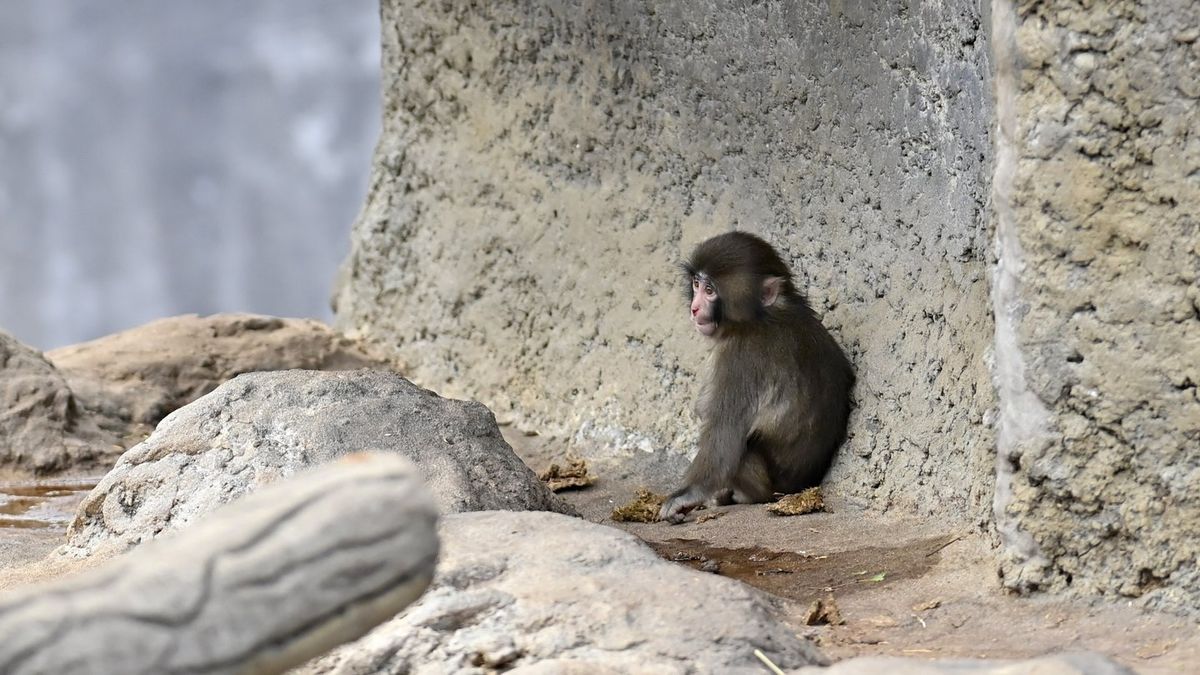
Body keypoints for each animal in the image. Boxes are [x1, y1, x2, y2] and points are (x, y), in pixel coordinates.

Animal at [659, 231, 855, 524]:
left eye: (710, 291)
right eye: (696, 284)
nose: (694, 308)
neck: (763, 315)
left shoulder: (739, 357)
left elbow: (724, 436)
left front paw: (686, 495)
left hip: (766, 485)